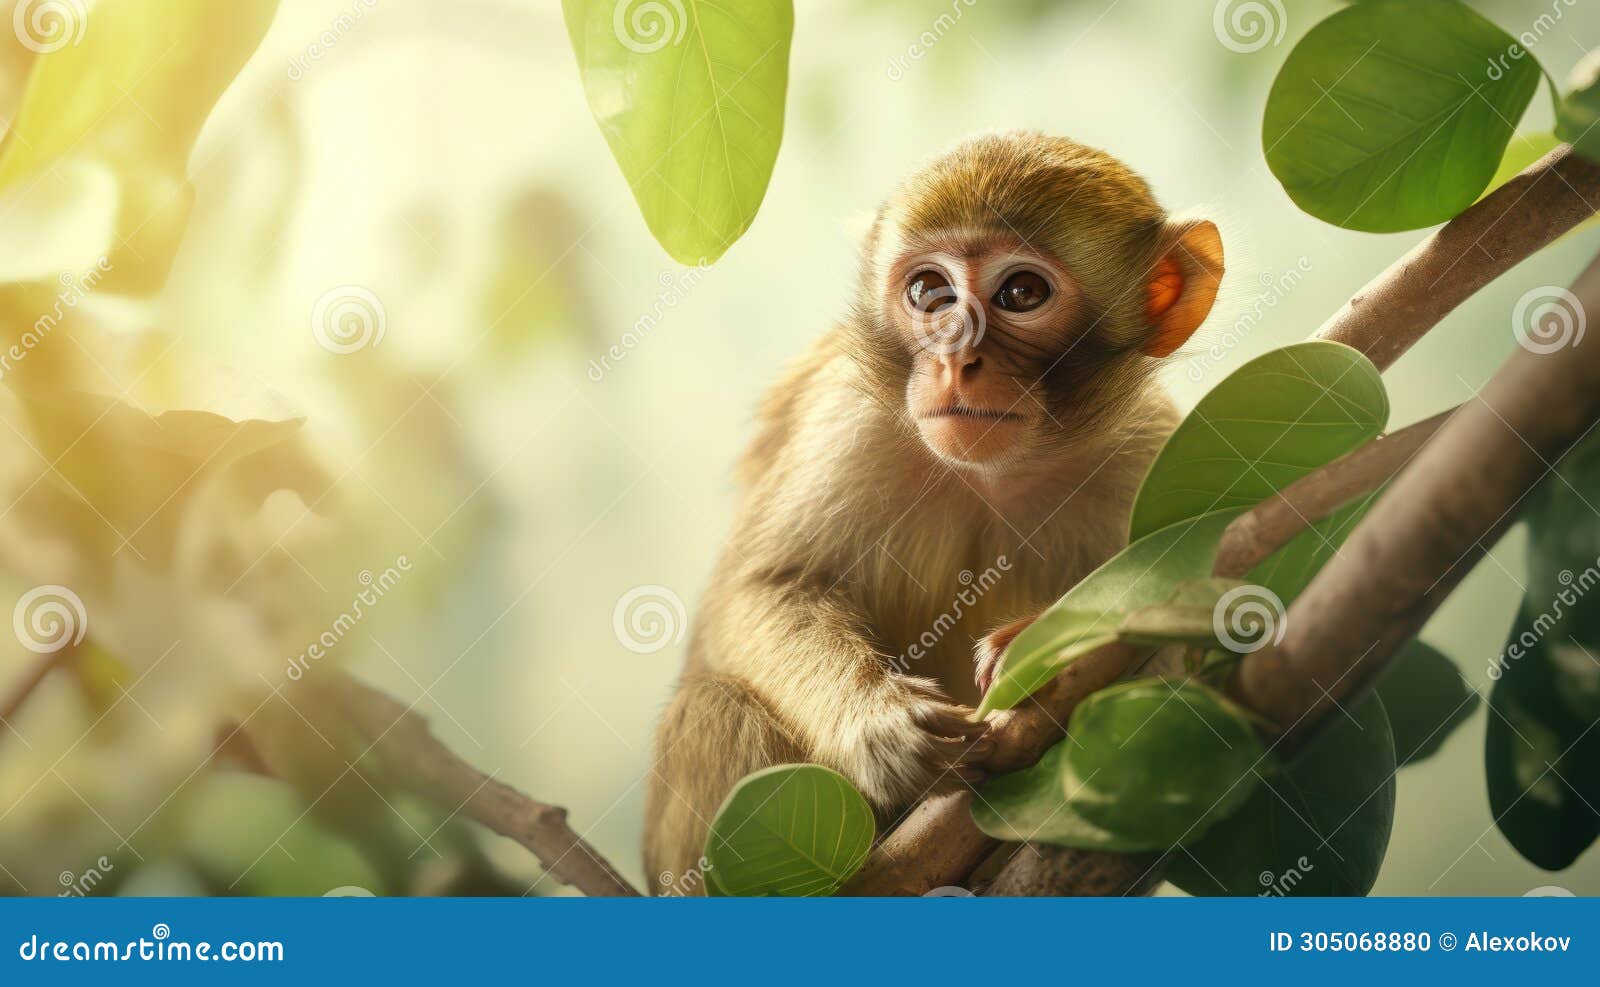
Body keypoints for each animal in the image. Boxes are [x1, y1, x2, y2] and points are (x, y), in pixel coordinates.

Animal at [643, 131, 1225, 892]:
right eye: (928, 291)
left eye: (1022, 292)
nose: (955, 356)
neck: (993, 477)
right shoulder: (852, 422)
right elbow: (760, 589)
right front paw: (877, 721)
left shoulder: (1145, 450)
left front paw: (1041, 635)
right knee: (713, 708)